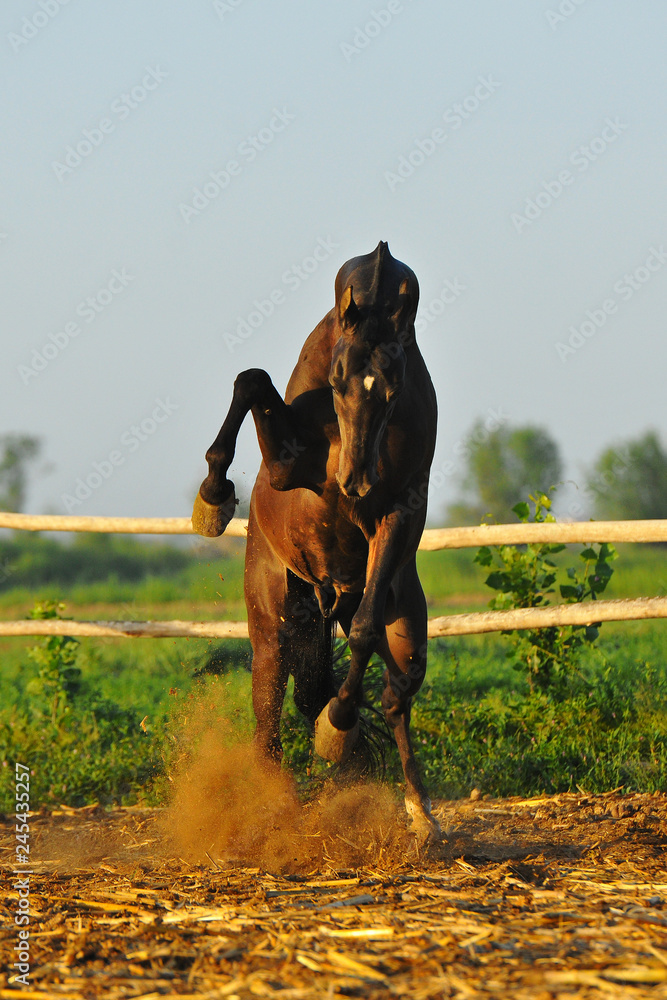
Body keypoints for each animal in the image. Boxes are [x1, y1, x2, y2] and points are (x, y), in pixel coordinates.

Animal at [192, 241, 441, 843]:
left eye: (394, 389)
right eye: (336, 378)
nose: (356, 482)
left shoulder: (397, 514)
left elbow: (366, 633)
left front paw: (338, 728)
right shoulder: (287, 472)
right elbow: (252, 381)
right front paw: (213, 497)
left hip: (403, 627)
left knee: (392, 692)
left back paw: (417, 810)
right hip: (276, 622)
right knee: (271, 710)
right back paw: (274, 801)